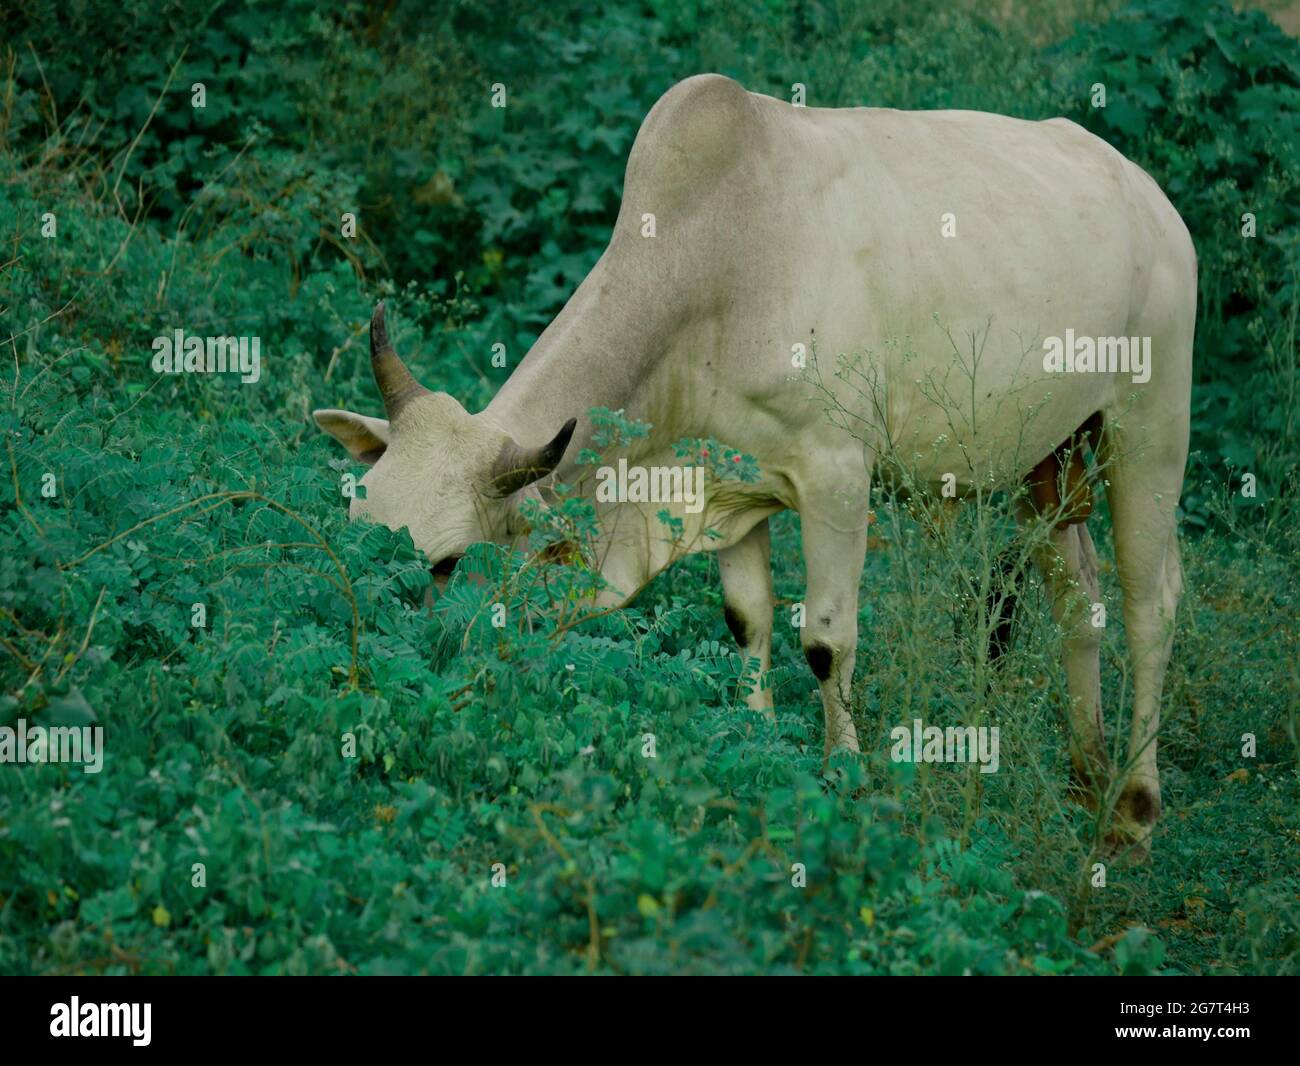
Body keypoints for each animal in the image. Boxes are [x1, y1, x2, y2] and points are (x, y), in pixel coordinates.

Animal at [315, 74, 1196, 857]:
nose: (368, 670)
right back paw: (1085, 772)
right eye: (355, 520)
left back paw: (1134, 809)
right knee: (1079, 601)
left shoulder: (838, 476)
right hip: (1052, 457)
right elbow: (749, 622)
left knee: (1150, 604)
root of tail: (1152, 198)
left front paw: (845, 776)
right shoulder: (729, 490)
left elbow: (826, 641)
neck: (715, 265)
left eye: (444, 563)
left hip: (1148, 427)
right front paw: (756, 746)